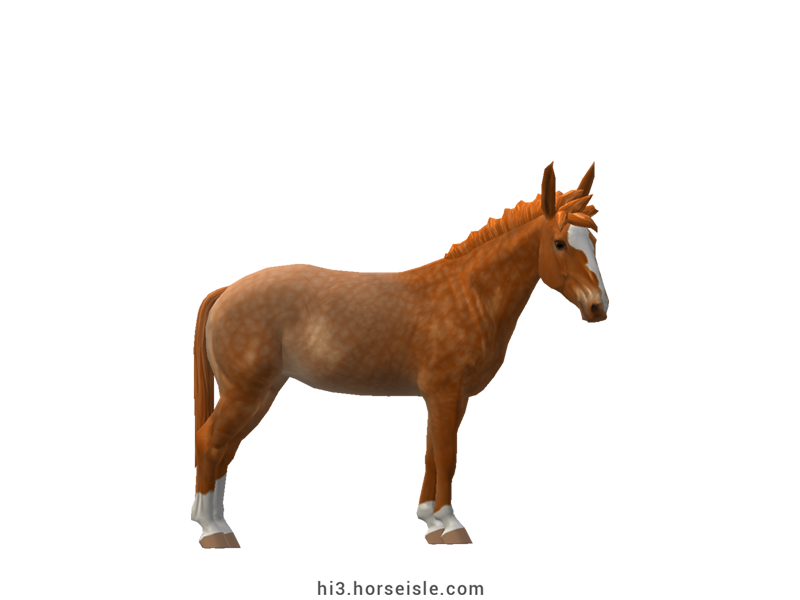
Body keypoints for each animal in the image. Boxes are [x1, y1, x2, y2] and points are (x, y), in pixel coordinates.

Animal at [191, 165, 608, 544]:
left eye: (591, 239)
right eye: (560, 243)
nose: (596, 306)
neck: (470, 293)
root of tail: (226, 292)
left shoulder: (445, 395)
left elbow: (433, 453)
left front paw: (428, 519)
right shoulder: (443, 391)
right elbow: (447, 454)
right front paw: (451, 523)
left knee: (215, 446)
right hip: (243, 393)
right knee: (208, 441)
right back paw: (211, 530)